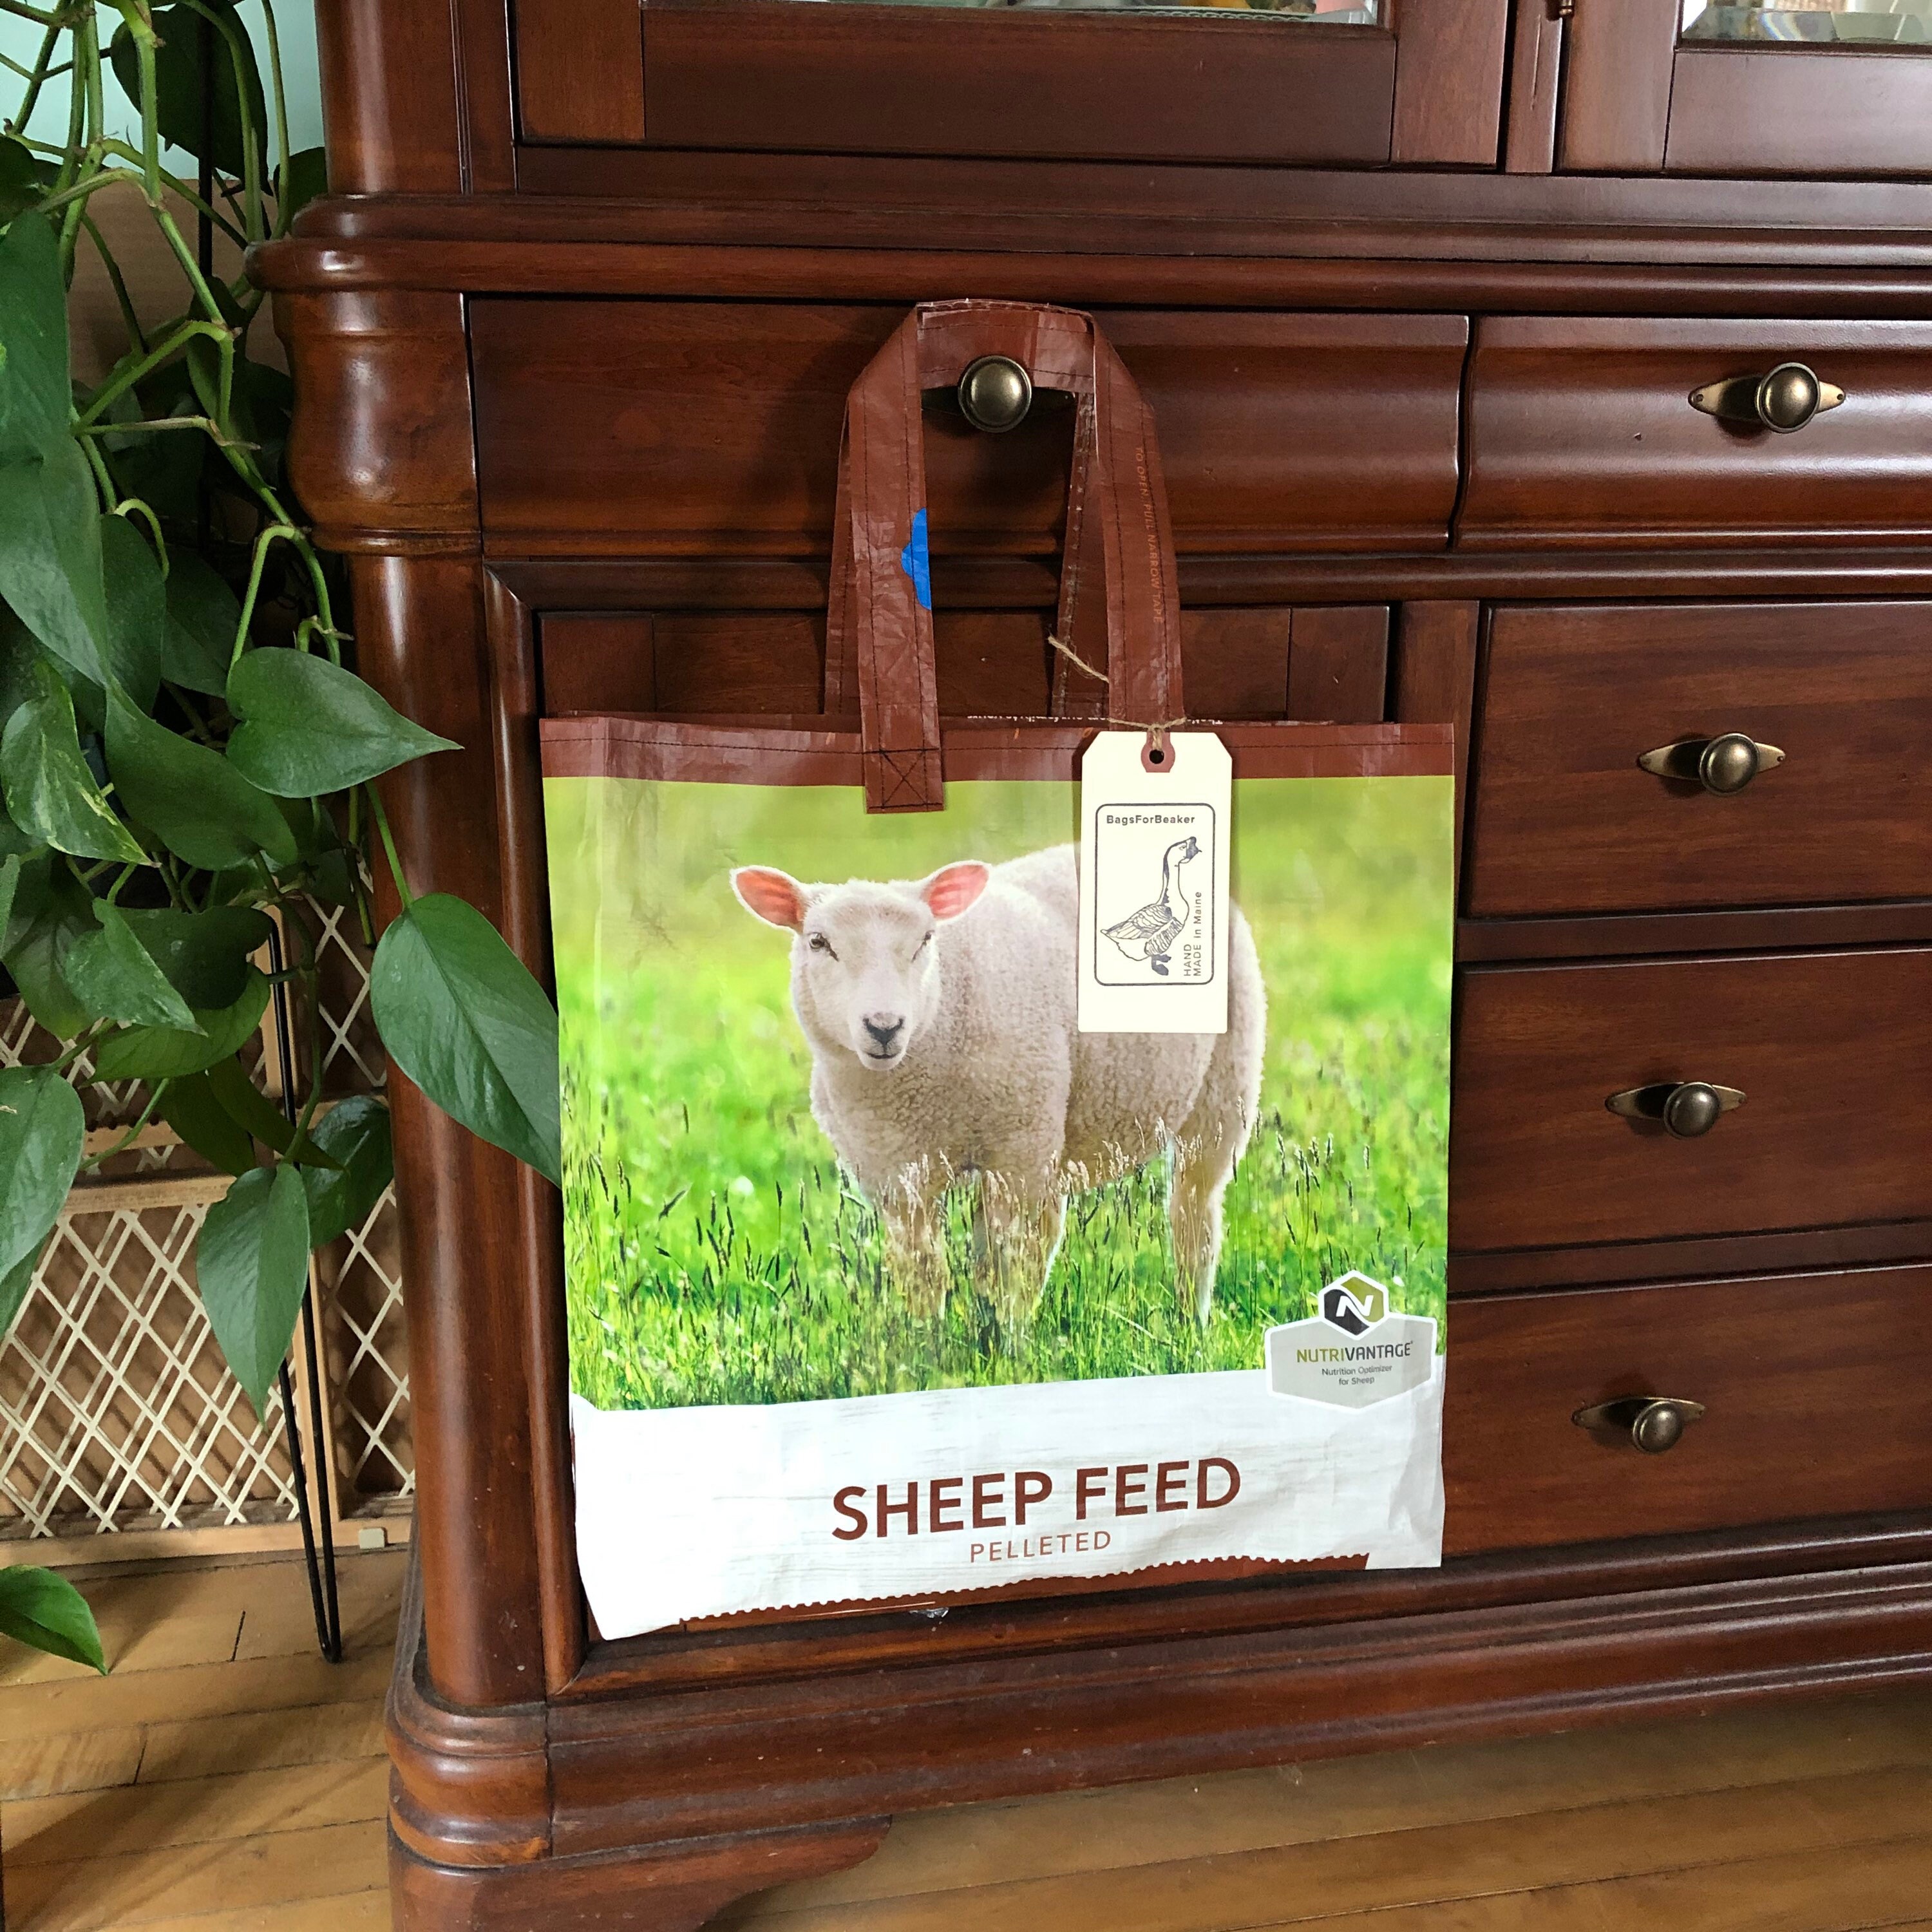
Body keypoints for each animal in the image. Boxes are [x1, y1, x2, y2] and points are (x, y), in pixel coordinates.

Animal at [730, 844, 1266, 1331]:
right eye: (818, 942)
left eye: (925, 940)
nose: (884, 1027)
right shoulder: (897, 1175)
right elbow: (924, 1271)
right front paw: (930, 1349)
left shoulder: (1018, 1152)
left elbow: (1011, 1268)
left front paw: (1009, 1351)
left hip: (1221, 1088)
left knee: (1193, 1216)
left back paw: (1190, 1322)